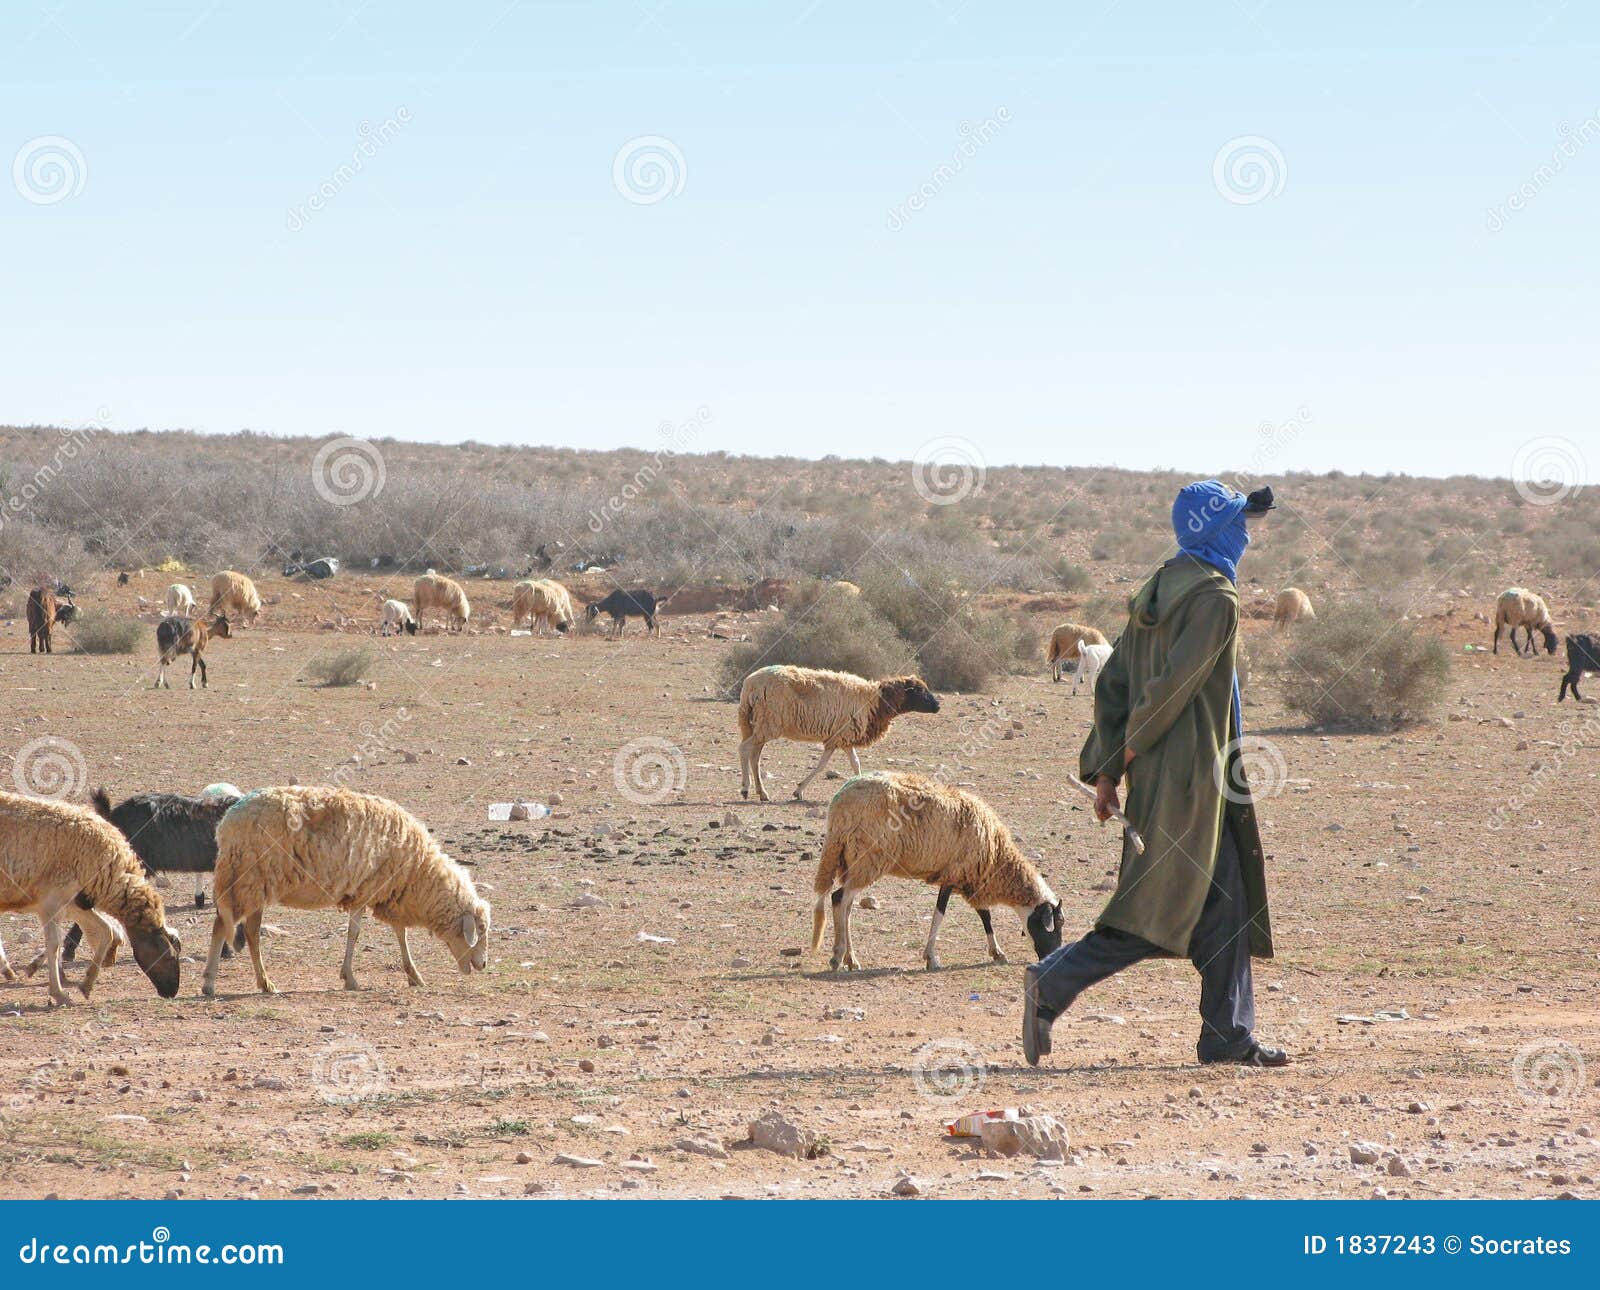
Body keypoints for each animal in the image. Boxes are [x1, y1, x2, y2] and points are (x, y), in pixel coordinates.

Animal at [0, 790, 182, 1005]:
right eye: (168, 956)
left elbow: (107, 931)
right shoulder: (52, 902)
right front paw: (59, 993)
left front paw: (86, 984)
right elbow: (54, 945)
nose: (172, 991)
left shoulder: (72, 902)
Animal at [201, 786, 491, 996]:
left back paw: (262, 983)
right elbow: (355, 934)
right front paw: (350, 978)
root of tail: (226, 822)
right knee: (224, 926)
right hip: (245, 880)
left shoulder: (387, 892)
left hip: (255, 885)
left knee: (249, 932)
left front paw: (413, 974)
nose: (484, 965)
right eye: (480, 929)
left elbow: (399, 932)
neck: (418, 872)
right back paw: (212, 984)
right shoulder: (368, 889)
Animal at [737, 665, 941, 802]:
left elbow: (854, 763)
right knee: (744, 749)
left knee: (755, 757)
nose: (938, 706)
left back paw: (762, 793)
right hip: (768, 723)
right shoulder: (841, 735)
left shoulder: (842, 738)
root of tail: (750, 684)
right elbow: (823, 766)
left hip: (756, 725)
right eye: (920, 690)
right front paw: (799, 791)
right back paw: (745, 788)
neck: (875, 701)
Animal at [810, 772, 1063, 971]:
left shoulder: (968, 877)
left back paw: (851, 959)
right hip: (868, 859)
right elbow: (940, 915)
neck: (999, 859)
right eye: (1057, 924)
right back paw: (837, 956)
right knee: (839, 898)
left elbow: (984, 916)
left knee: (845, 906)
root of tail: (840, 804)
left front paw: (997, 953)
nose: (1052, 957)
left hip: (849, 860)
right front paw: (931, 958)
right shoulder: (955, 875)